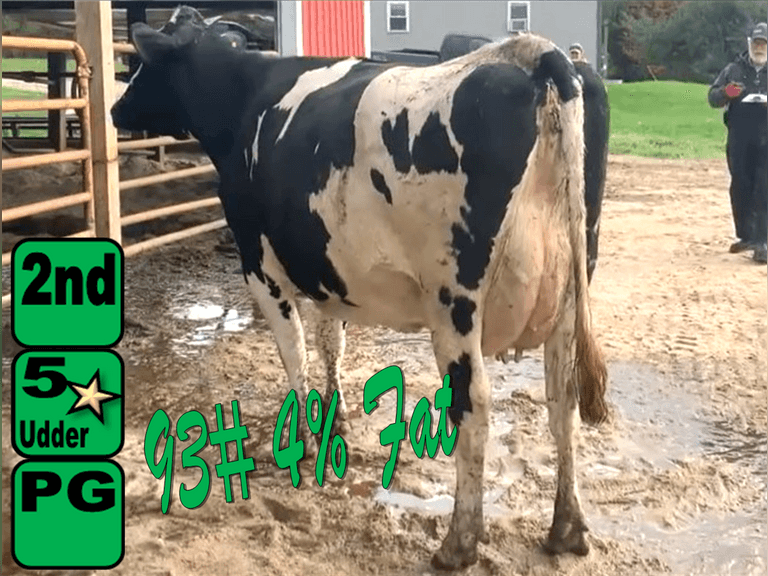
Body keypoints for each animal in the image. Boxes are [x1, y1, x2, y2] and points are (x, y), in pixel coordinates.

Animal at [112, 8, 609, 569]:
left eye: (142, 65)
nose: (114, 107)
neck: (245, 99)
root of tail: (534, 54)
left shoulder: (259, 265)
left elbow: (295, 354)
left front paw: (304, 441)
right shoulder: (330, 269)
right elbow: (332, 343)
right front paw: (337, 419)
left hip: (455, 305)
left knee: (474, 404)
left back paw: (458, 542)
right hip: (571, 291)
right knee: (563, 401)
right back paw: (567, 528)